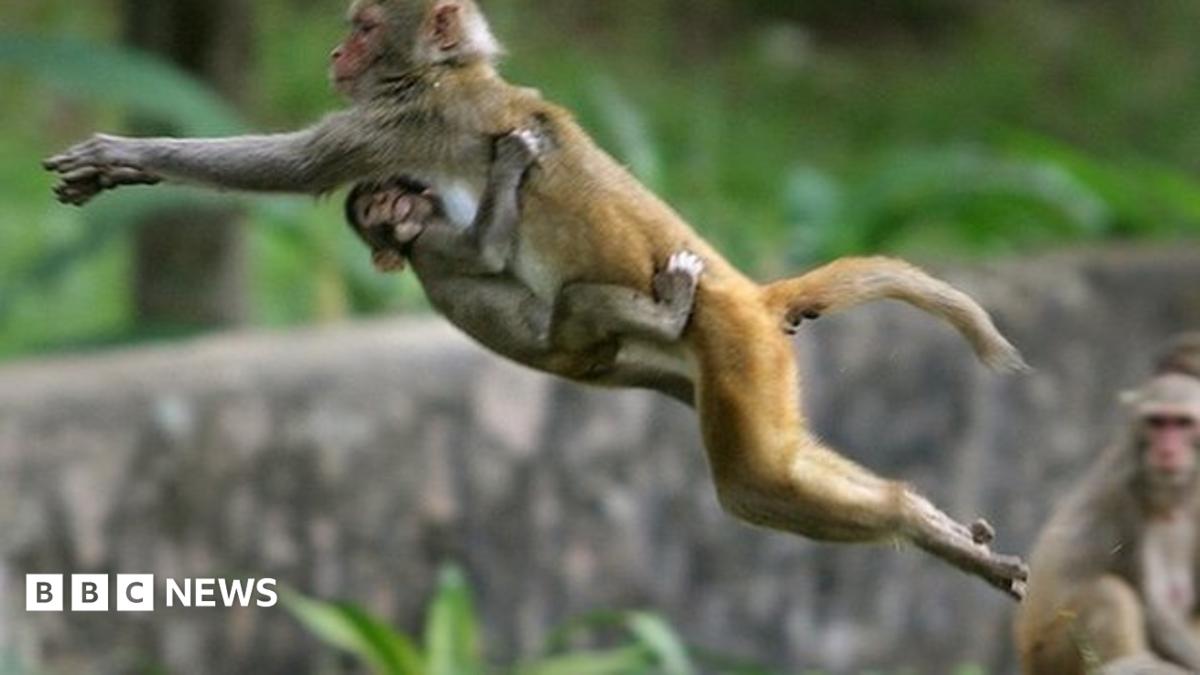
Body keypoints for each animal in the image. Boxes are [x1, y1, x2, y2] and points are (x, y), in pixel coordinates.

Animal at [44, 0, 1030, 597]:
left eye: (363, 25)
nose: (333, 51)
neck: (451, 77)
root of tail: (749, 291)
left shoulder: (398, 124)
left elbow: (291, 165)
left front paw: (128, 156)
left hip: (733, 342)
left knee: (754, 481)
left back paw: (907, 518)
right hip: (730, 360)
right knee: (770, 456)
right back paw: (930, 522)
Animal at [1015, 374, 1200, 674]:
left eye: (1183, 423)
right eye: (1157, 422)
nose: (1167, 450)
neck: (1169, 501)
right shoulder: (1122, 500)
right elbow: (1154, 612)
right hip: (1050, 652)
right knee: (1110, 595)